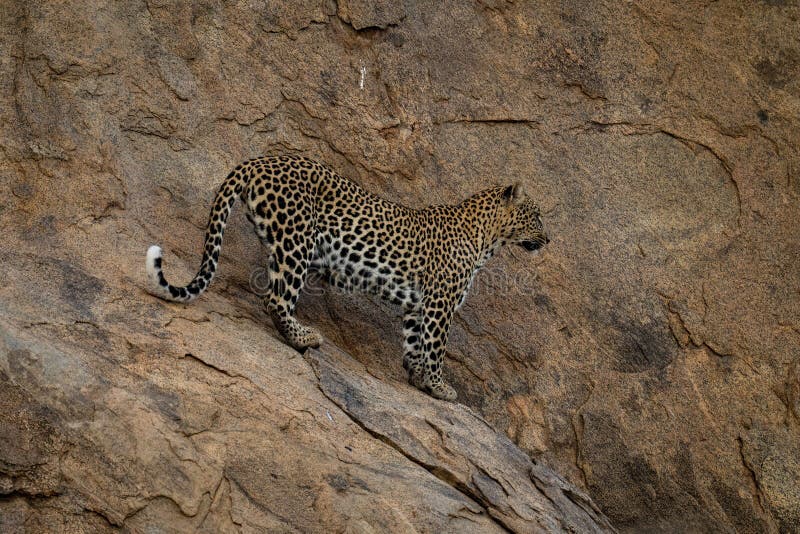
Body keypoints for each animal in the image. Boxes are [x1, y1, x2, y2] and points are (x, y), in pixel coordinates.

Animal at [145, 154, 549, 401]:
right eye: (536, 216)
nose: (548, 240)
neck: (487, 239)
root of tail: (258, 160)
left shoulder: (418, 305)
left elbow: (414, 343)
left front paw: (419, 379)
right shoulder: (440, 303)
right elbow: (436, 347)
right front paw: (439, 387)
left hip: (283, 243)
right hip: (297, 240)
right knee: (276, 297)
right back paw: (303, 338)